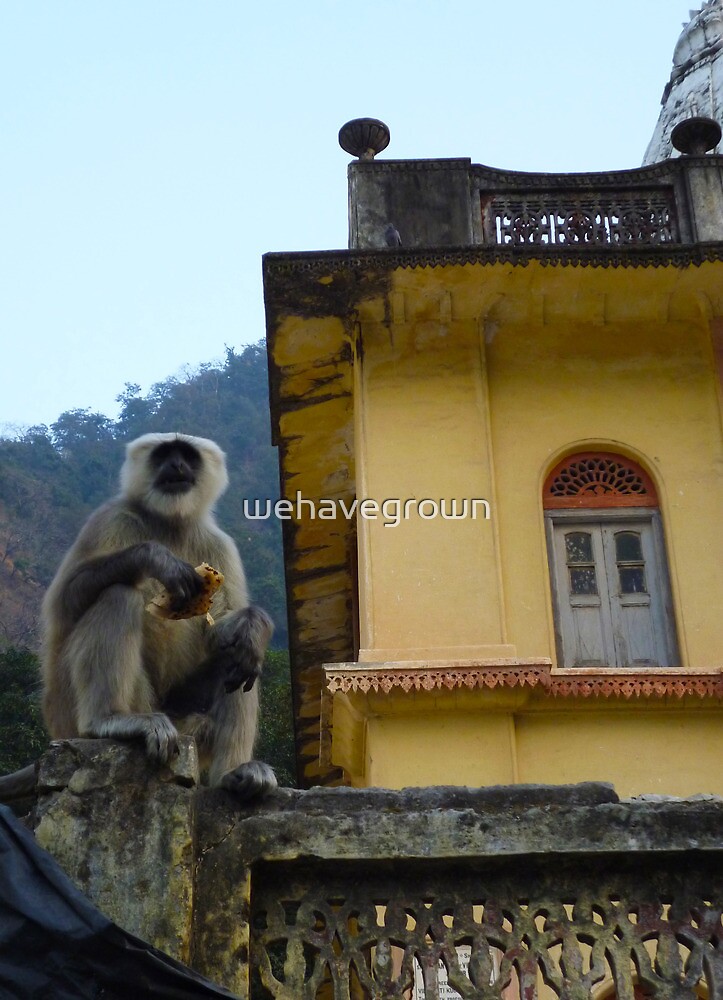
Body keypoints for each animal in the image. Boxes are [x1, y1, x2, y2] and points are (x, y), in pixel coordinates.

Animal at [0, 432, 276, 802]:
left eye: (187, 455)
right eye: (164, 454)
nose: (176, 466)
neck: (170, 523)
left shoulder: (220, 544)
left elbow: (220, 628)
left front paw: (253, 624)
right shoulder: (111, 517)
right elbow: (64, 602)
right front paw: (156, 558)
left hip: (186, 723)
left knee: (241, 659)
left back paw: (232, 775)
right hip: (73, 706)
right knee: (118, 594)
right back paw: (108, 720)